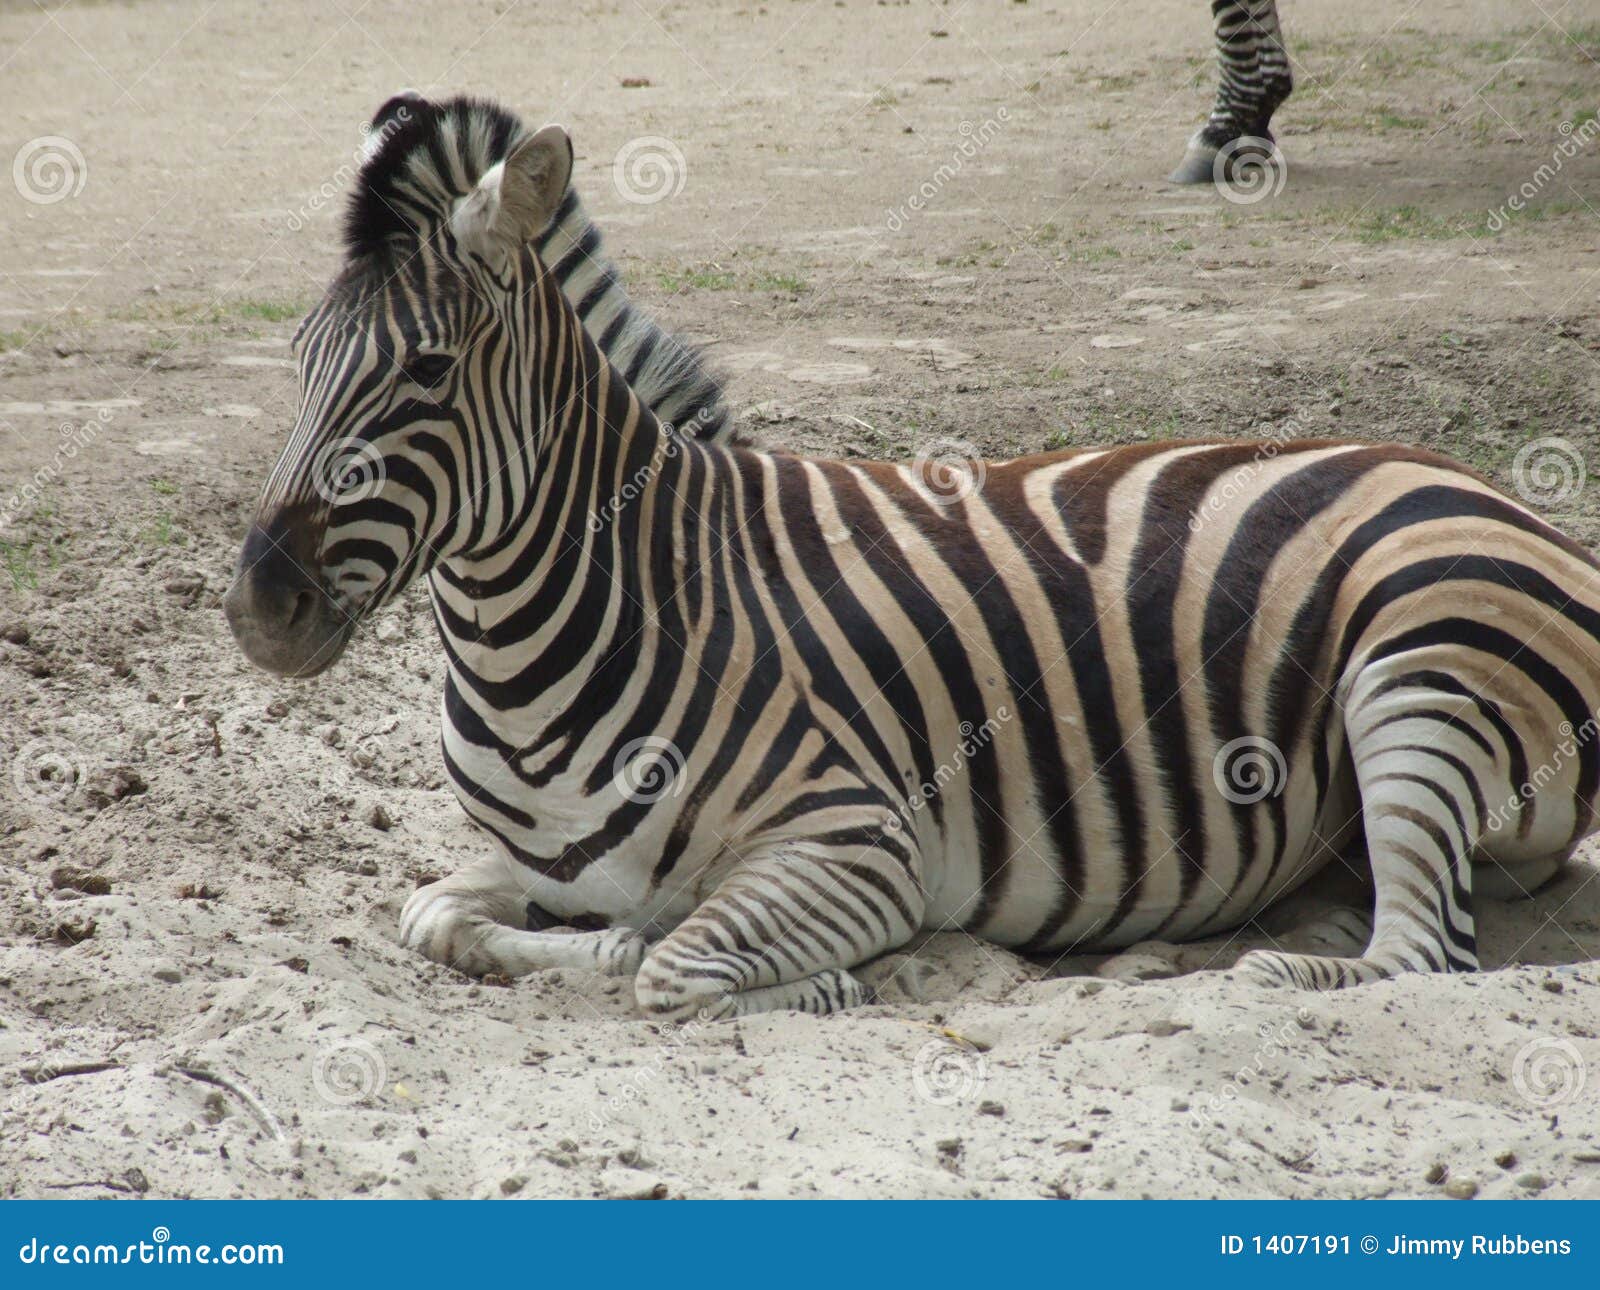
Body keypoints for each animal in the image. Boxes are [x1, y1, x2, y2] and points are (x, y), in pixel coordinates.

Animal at [224, 99, 1600, 1019]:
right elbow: (437, 916)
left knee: (1420, 958)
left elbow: (669, 966)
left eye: (426, 370)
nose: (258, 606)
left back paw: (1268, 965)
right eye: (297, 357)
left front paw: (811, 982)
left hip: (1417, 670)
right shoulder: (520, 868)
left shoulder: (858, 844)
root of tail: (1485, 487)